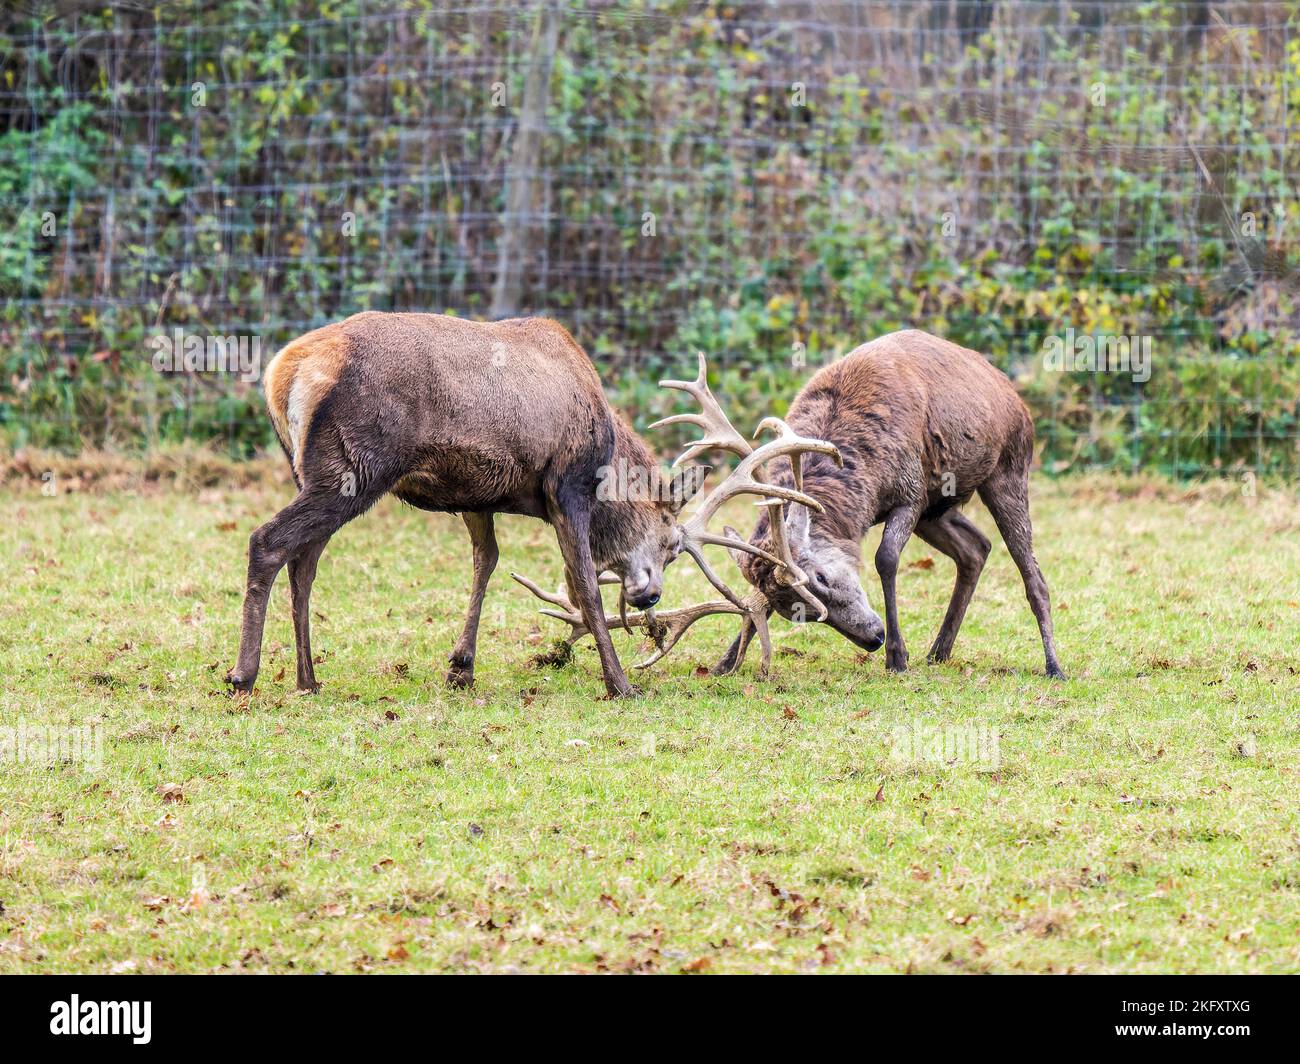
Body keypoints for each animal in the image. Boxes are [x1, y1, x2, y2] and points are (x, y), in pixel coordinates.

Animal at [226, 311, 835, 700]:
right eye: (670, 545)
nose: (648, 596)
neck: (608, 453)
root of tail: (283, 371)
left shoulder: (477, 497)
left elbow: (486, 562)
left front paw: (461, 667)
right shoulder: (566, 484)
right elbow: (583, 583)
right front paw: (621, 683)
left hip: (314, 471)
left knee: (304, 561)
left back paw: (307, 678)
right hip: (354, 467)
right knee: (269, 540)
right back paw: (243, 674)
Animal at [532, 332, 1063, 680]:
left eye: (822, 578)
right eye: (795, 612)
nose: (872, 637)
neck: (859, 471)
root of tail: (1012, 392)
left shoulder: (911, 489)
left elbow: (886, 559)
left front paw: (898, 657)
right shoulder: (920, 500)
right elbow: (751, 602)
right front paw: (726, 661)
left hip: (1008, 468)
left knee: (1032, 572)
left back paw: (1052, 663)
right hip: (942, 507)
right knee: (976, 548)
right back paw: (940, 650)